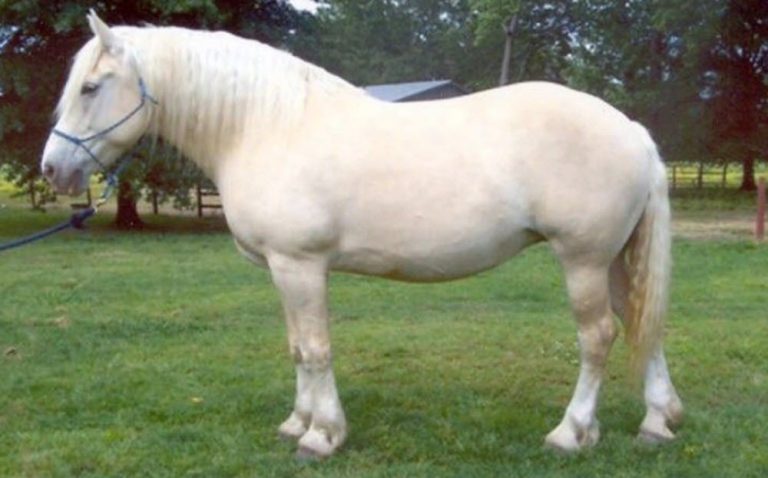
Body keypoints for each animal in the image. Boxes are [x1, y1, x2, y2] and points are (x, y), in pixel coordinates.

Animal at [41, 11, 683, 459]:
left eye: (91, 87)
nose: (52, 168)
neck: (266, 126)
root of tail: (632, 130)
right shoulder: (283, 269)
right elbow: (297, 347)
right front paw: (297, 423)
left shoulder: (299, 265)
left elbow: (316, 348)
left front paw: (322, 436)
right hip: (614, 260)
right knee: (640, 324)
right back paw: (658, 422)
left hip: (582, 260)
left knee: (598, 337)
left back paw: (571, 433)